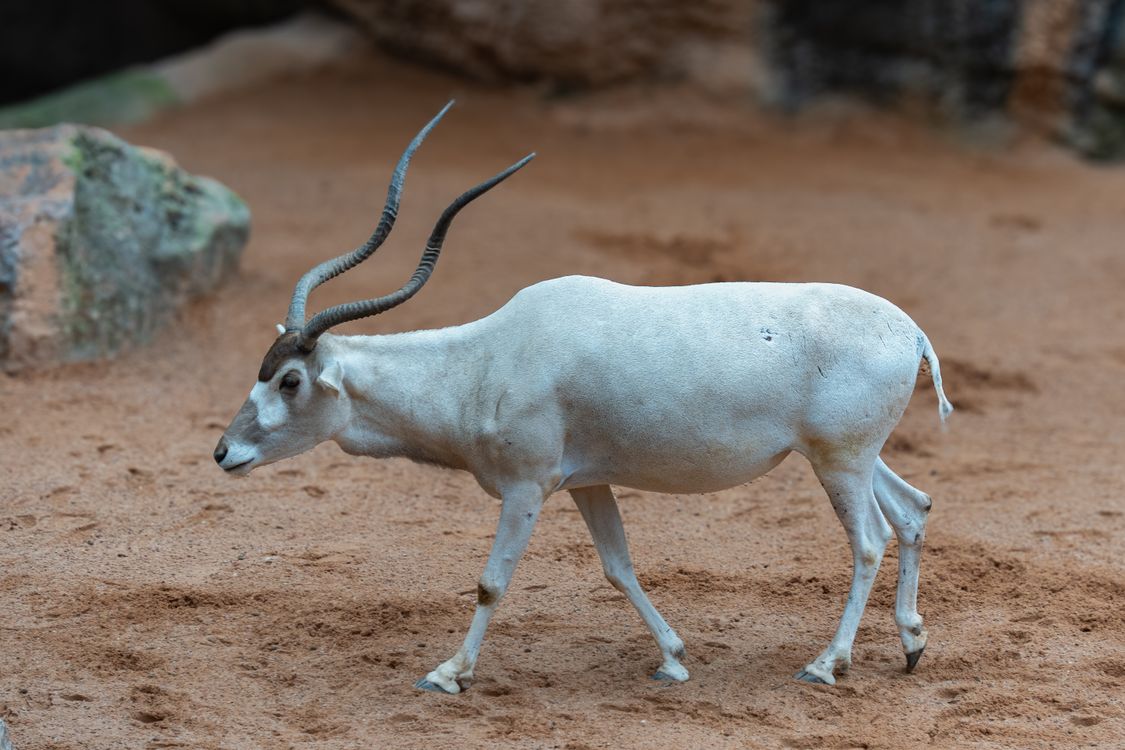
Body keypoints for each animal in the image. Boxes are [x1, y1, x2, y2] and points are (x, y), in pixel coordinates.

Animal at [215, 102, 953, 693]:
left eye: (290, 380)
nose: (224, 451)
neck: (485, 360)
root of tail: (912, 332)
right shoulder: (586, 482)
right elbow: (618, 567)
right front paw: (673, 659)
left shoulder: (526, 486)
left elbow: (492, 579)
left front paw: (449, 673)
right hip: (849, 456)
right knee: (912, 509)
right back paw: (912, 644)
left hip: (838, 462)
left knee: (869, 540)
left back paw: (826, 664)